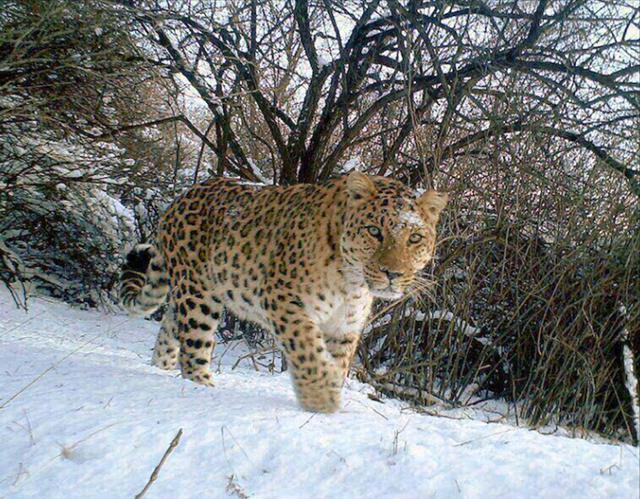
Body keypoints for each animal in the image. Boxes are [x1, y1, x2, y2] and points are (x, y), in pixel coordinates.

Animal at [119, 172, 447, 413]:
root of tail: (180, 199)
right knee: (193, 345)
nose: (392, 273)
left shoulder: (345, 325)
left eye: (415, 238)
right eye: (374, 231)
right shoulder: (284, 300)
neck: (352, 283)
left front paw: (330, 392)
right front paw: (322, 400)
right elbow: (309, 351)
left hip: (191, 294)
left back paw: (162, 369)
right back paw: (202, 386)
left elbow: (337, 362)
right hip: (198, 294)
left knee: (170, 327)